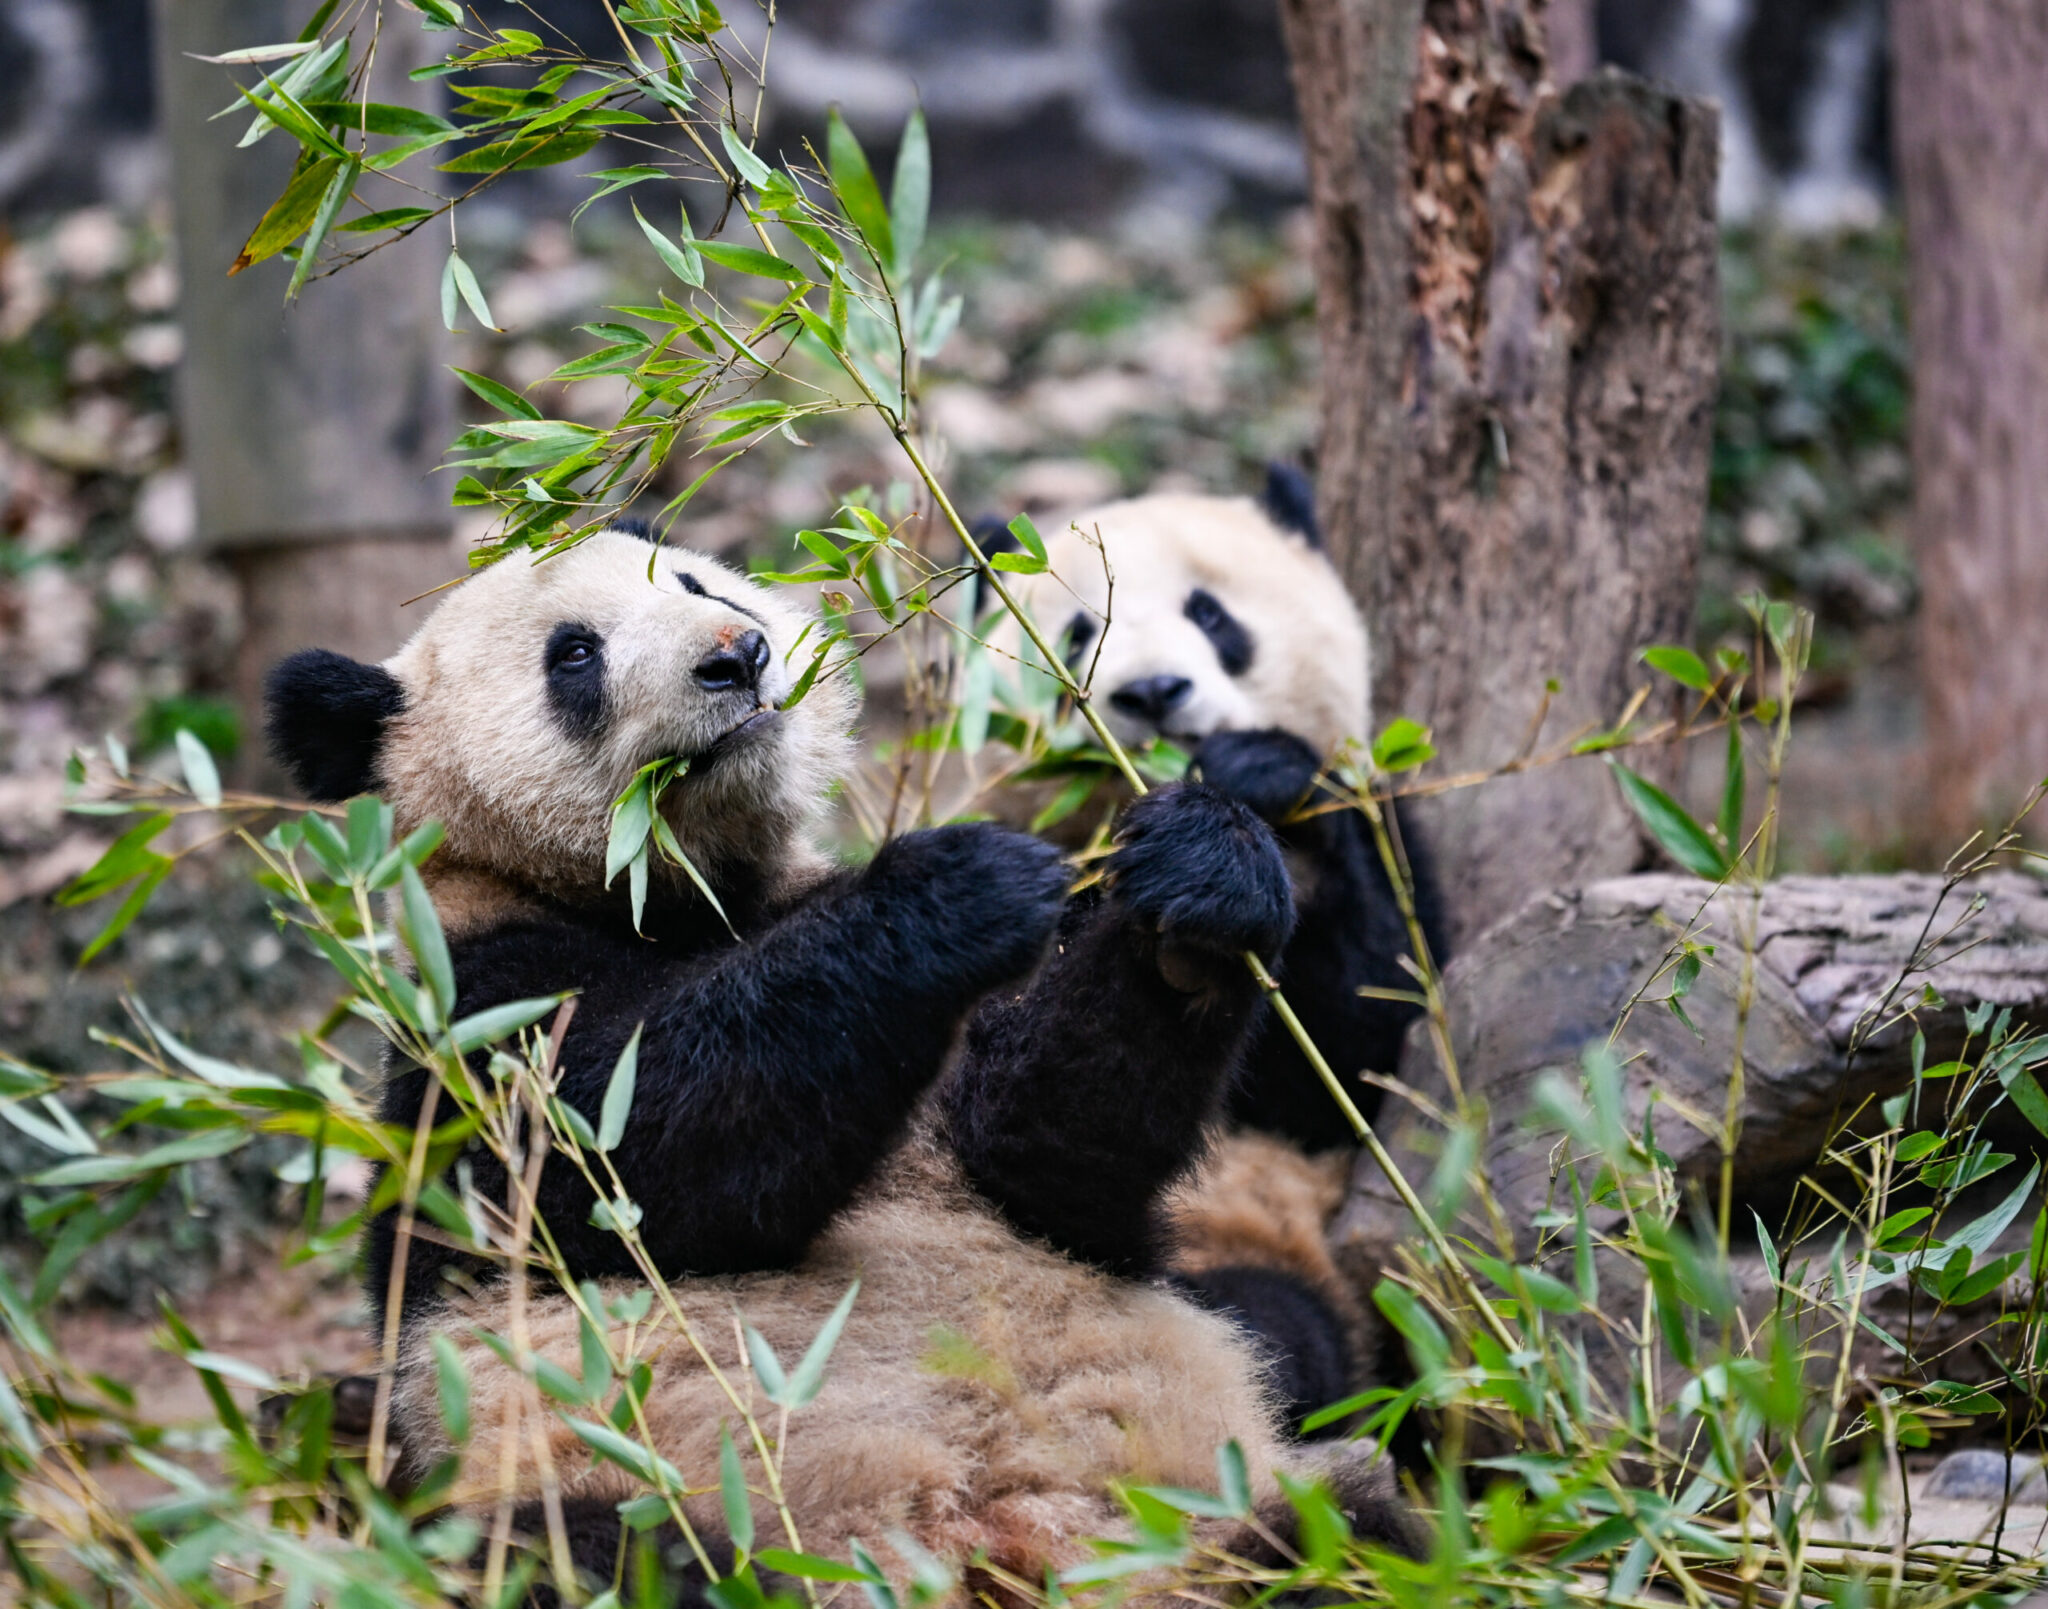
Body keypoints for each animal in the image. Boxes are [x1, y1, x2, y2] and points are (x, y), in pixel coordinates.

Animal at [263, 522, 1416, 1602]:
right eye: (574, 653)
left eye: (698, 584)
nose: (737, 656)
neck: (677, 892)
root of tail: (994, 1555)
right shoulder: (473, 1024)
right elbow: (629, 1150)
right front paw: (953, 888)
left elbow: (1045, 1154)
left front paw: (1201, 880)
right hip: (628, 1492)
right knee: (595, 1557)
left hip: (1216, 1508)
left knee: (1353, 1534)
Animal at [989, 469, 1446, 1356]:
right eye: (1073, 633)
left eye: (1209, 613)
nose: (1153, 691)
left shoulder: (1387, 833)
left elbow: (1375, 1037)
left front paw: (1244, 820)